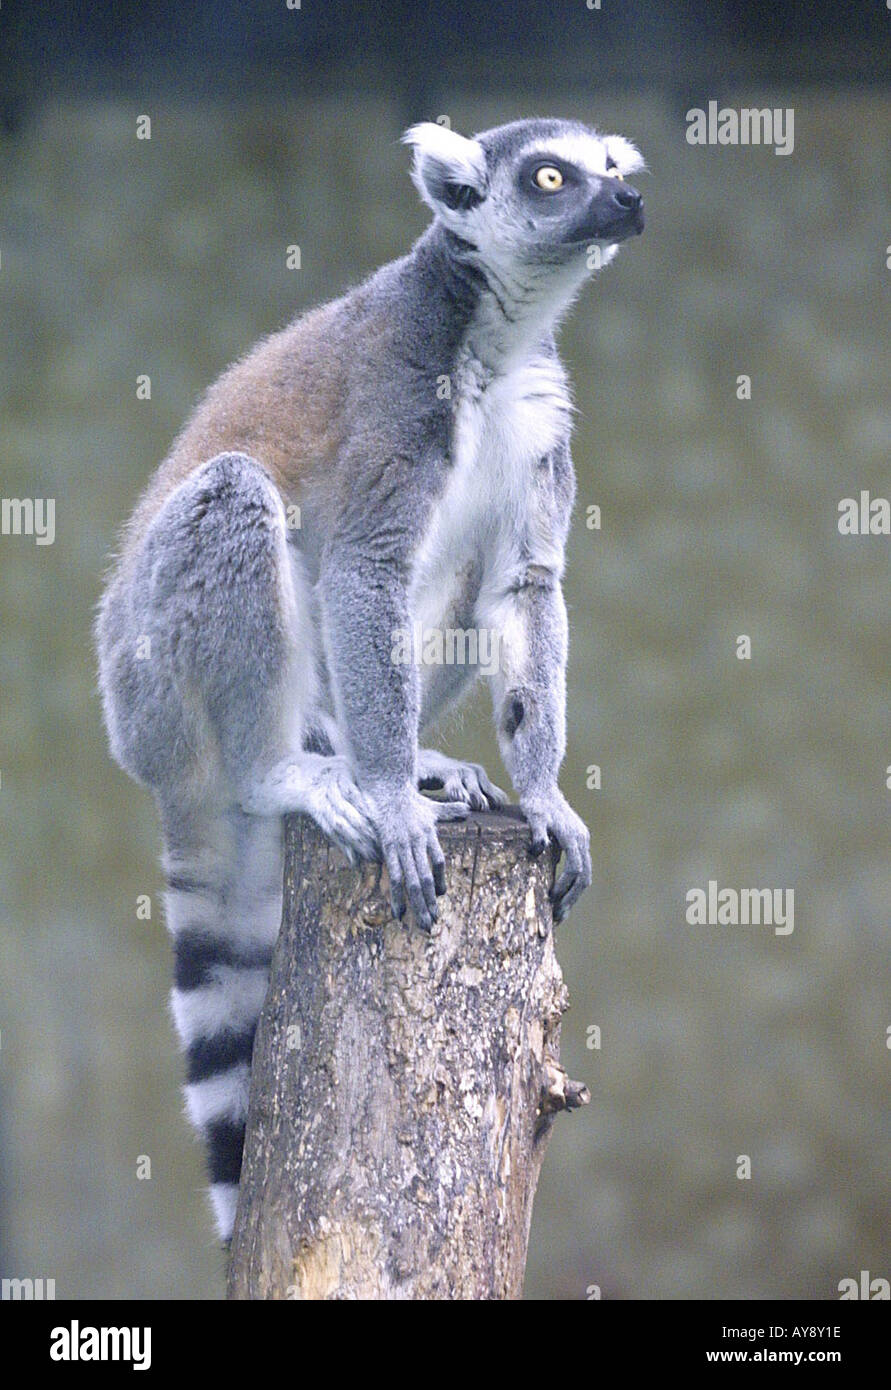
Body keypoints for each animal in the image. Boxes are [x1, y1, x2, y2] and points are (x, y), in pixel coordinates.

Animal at [96, 118, 645, 1241]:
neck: (495, 343)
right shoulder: (395, 400)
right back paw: (298, 771)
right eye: (553, 176)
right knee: (235, 496)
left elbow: (524, 585)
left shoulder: (541, 424)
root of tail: (157, 764)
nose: (627, 203)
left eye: (614, 170)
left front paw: (543, 796)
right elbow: (365, 568)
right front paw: (393, 800)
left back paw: (397, 756)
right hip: (152, 687)